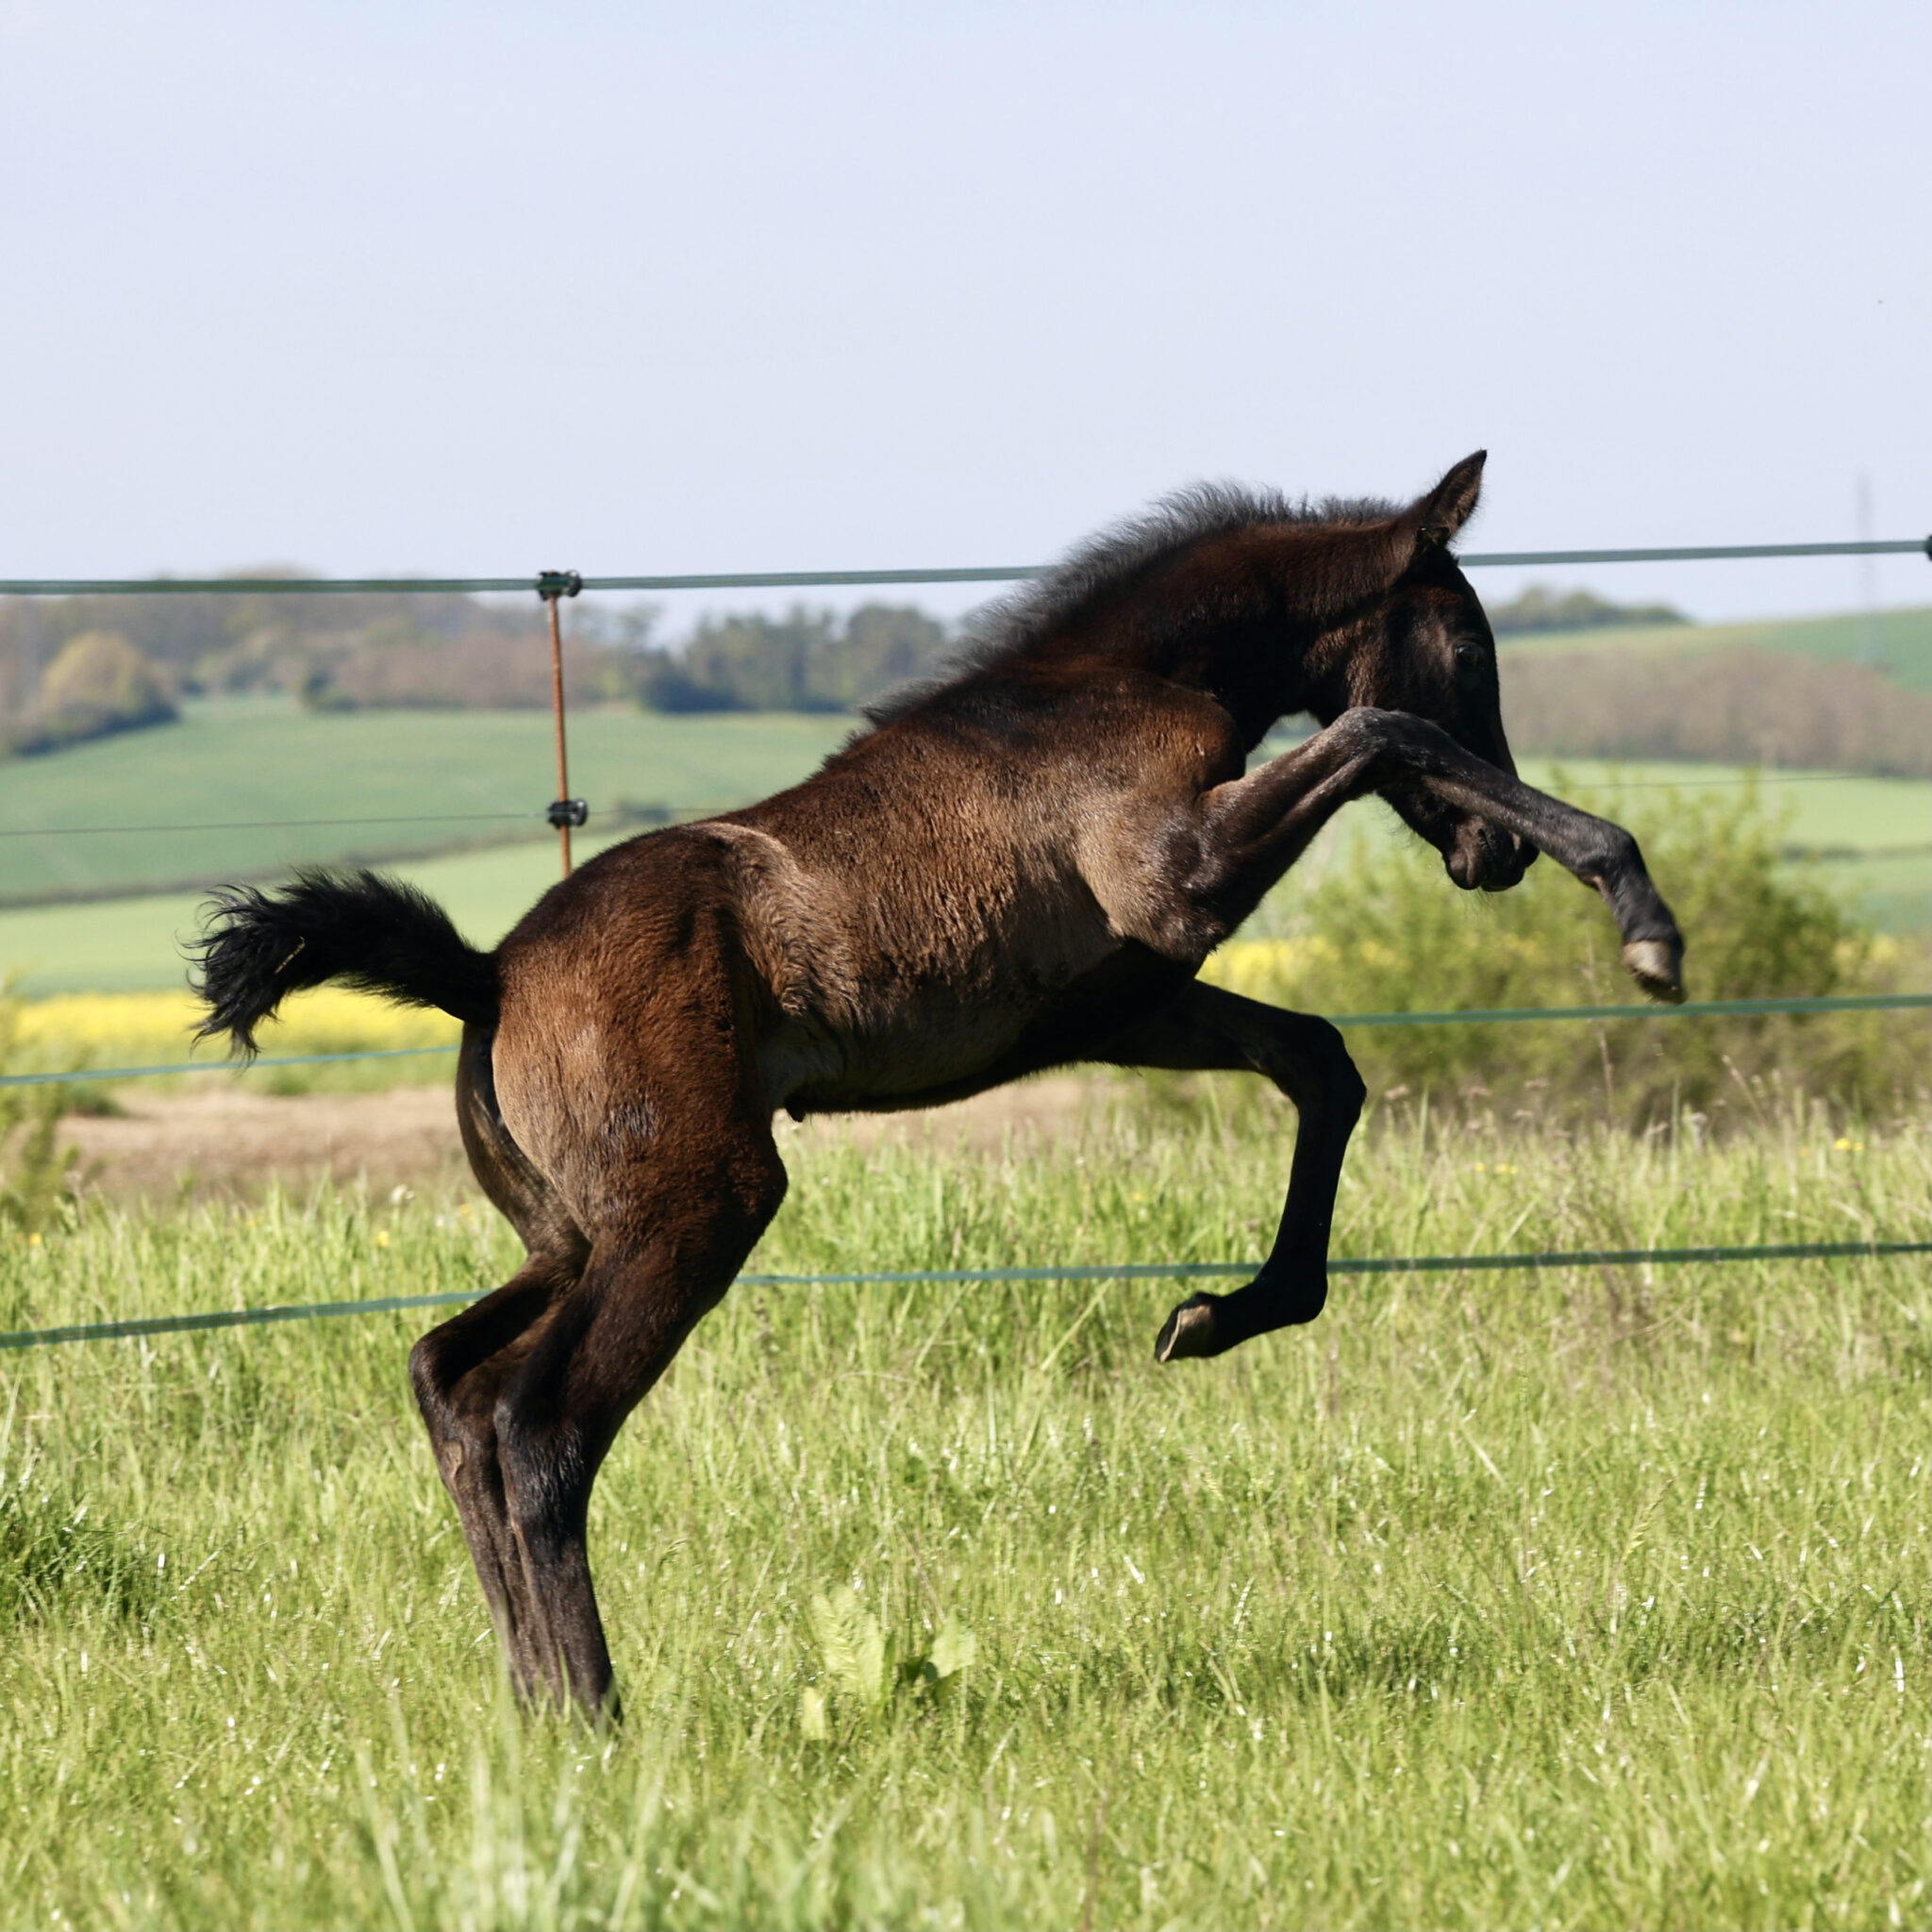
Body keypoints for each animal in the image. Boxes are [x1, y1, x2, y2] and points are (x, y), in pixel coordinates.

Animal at [191, 452, 1685, 1717]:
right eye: (1471, 648)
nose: (1493, 857)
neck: (1111, 684)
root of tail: (490, 970)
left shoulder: (1124, 998)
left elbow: (1320, 1059)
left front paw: (1219, 1315)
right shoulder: (1180, 879)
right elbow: (1381, 731)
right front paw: (1639, 909)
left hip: (573, 1232)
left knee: (451, 1383)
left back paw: (532, 1706)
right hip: (694, 1207)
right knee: (539, 1427)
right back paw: (598, 1718)